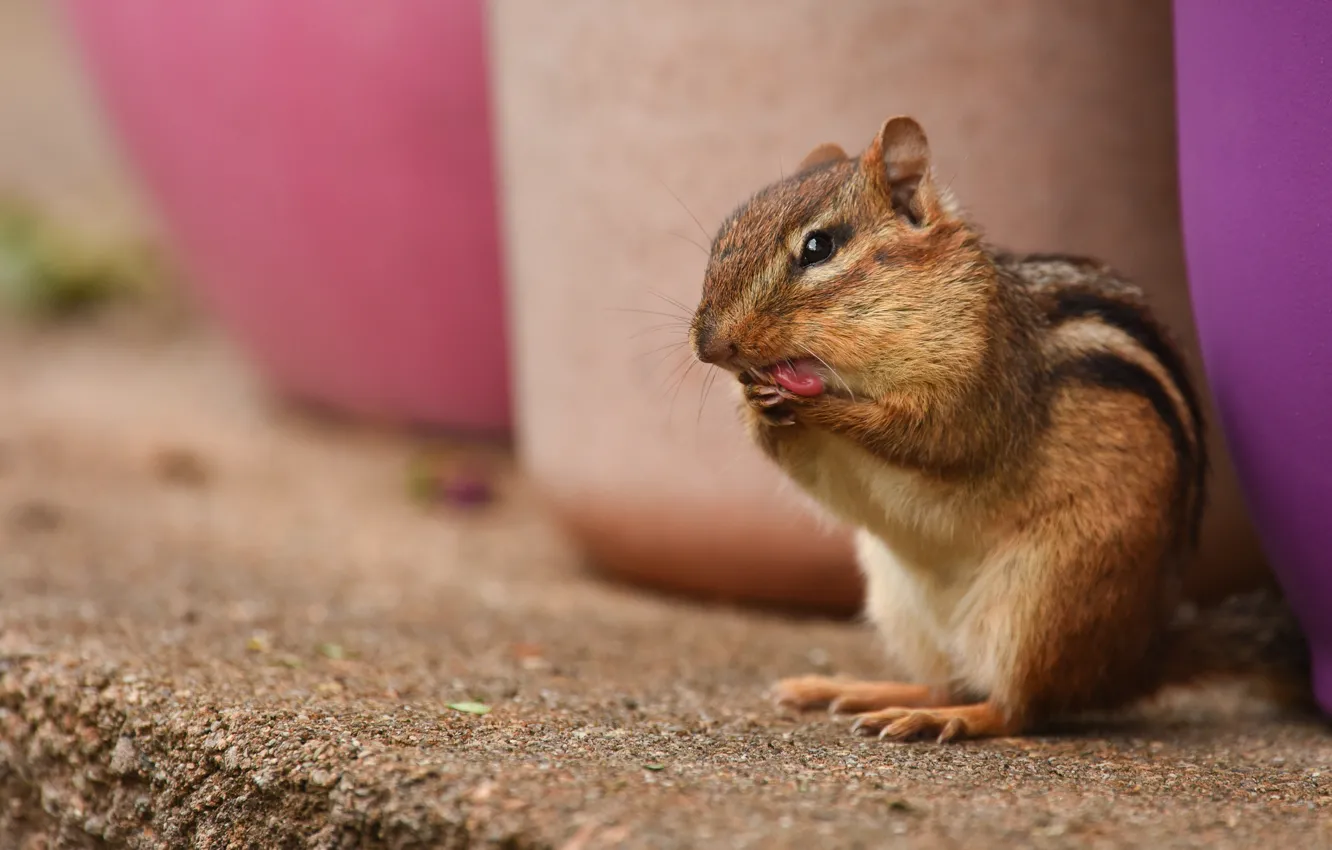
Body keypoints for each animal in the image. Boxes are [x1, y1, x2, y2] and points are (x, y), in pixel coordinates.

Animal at [689, 116, 1311, 743]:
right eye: (722, 238)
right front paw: (756, 406)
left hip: (1042, 601)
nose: (710, 345)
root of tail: (1135, 659)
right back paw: (858, 691)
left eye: (819, 247)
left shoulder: (984, 383)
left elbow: (931, 435)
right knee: (949, 680)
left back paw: (941, 718)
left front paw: (813, 402)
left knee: (1016, 708)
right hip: (902, 605)